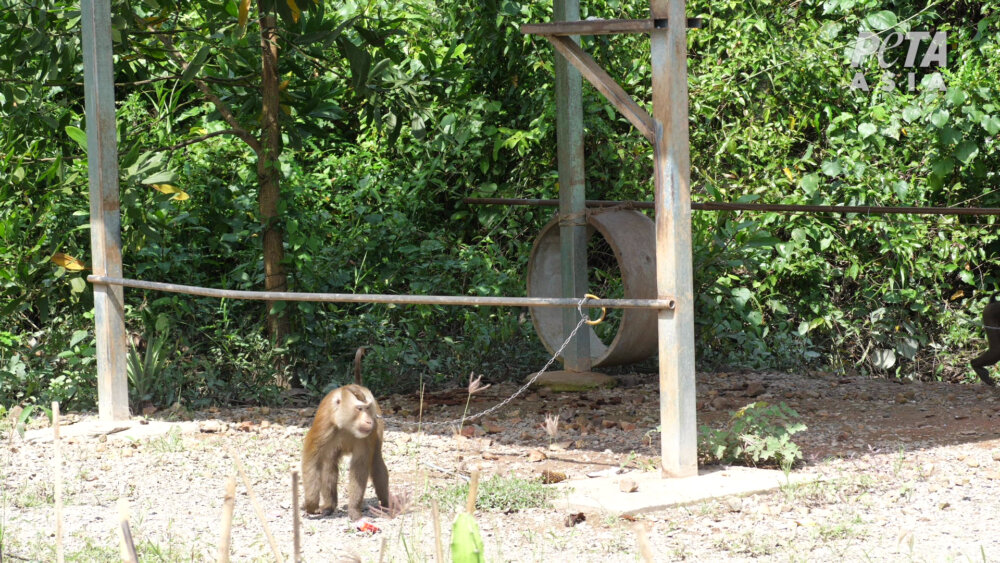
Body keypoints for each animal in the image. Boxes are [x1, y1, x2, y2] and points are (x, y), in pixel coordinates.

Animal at [301, 347, 389, 520]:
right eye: (359, 409)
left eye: (368, 408)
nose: (369, 421)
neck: (346, 425)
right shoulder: (324, 424)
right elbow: (312, 459)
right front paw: (311, 503)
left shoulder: (369, 434)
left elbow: (360, 466)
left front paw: (354, 510)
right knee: (328, 462)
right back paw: (329, 507)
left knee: (376, 460)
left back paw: (386, 505)